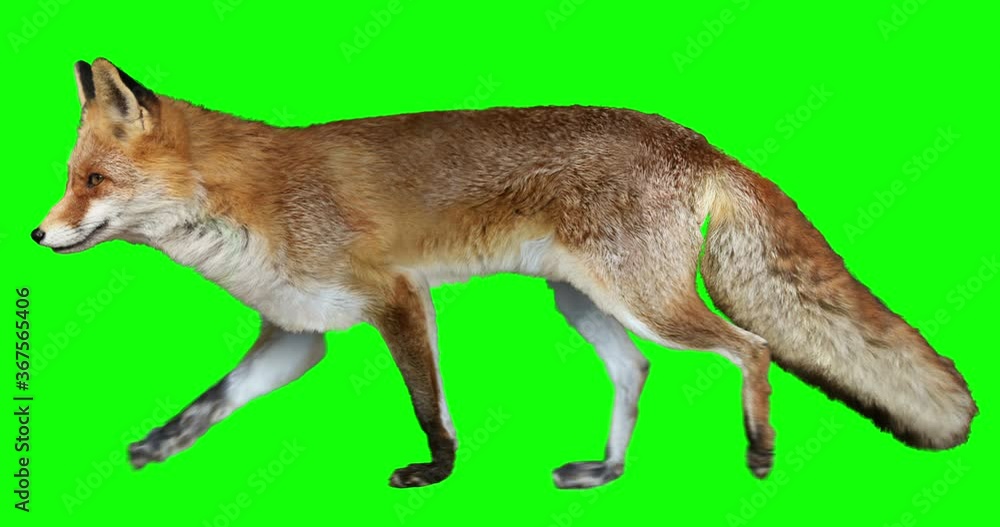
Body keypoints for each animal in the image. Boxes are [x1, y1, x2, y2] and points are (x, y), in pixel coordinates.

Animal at [34, 58, 976, 489]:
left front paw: (438, 473)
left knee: (751, 347)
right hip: (584, 301)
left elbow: (428, 405)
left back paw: (758, 448)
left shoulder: (397, 296)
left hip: (645, 298)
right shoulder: (299, 331)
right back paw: (607, 472)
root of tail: (699, 140)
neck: (247, 207)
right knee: (637, 369)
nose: (39, 233)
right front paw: (159, 443)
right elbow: (212, 400)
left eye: (93, 182)